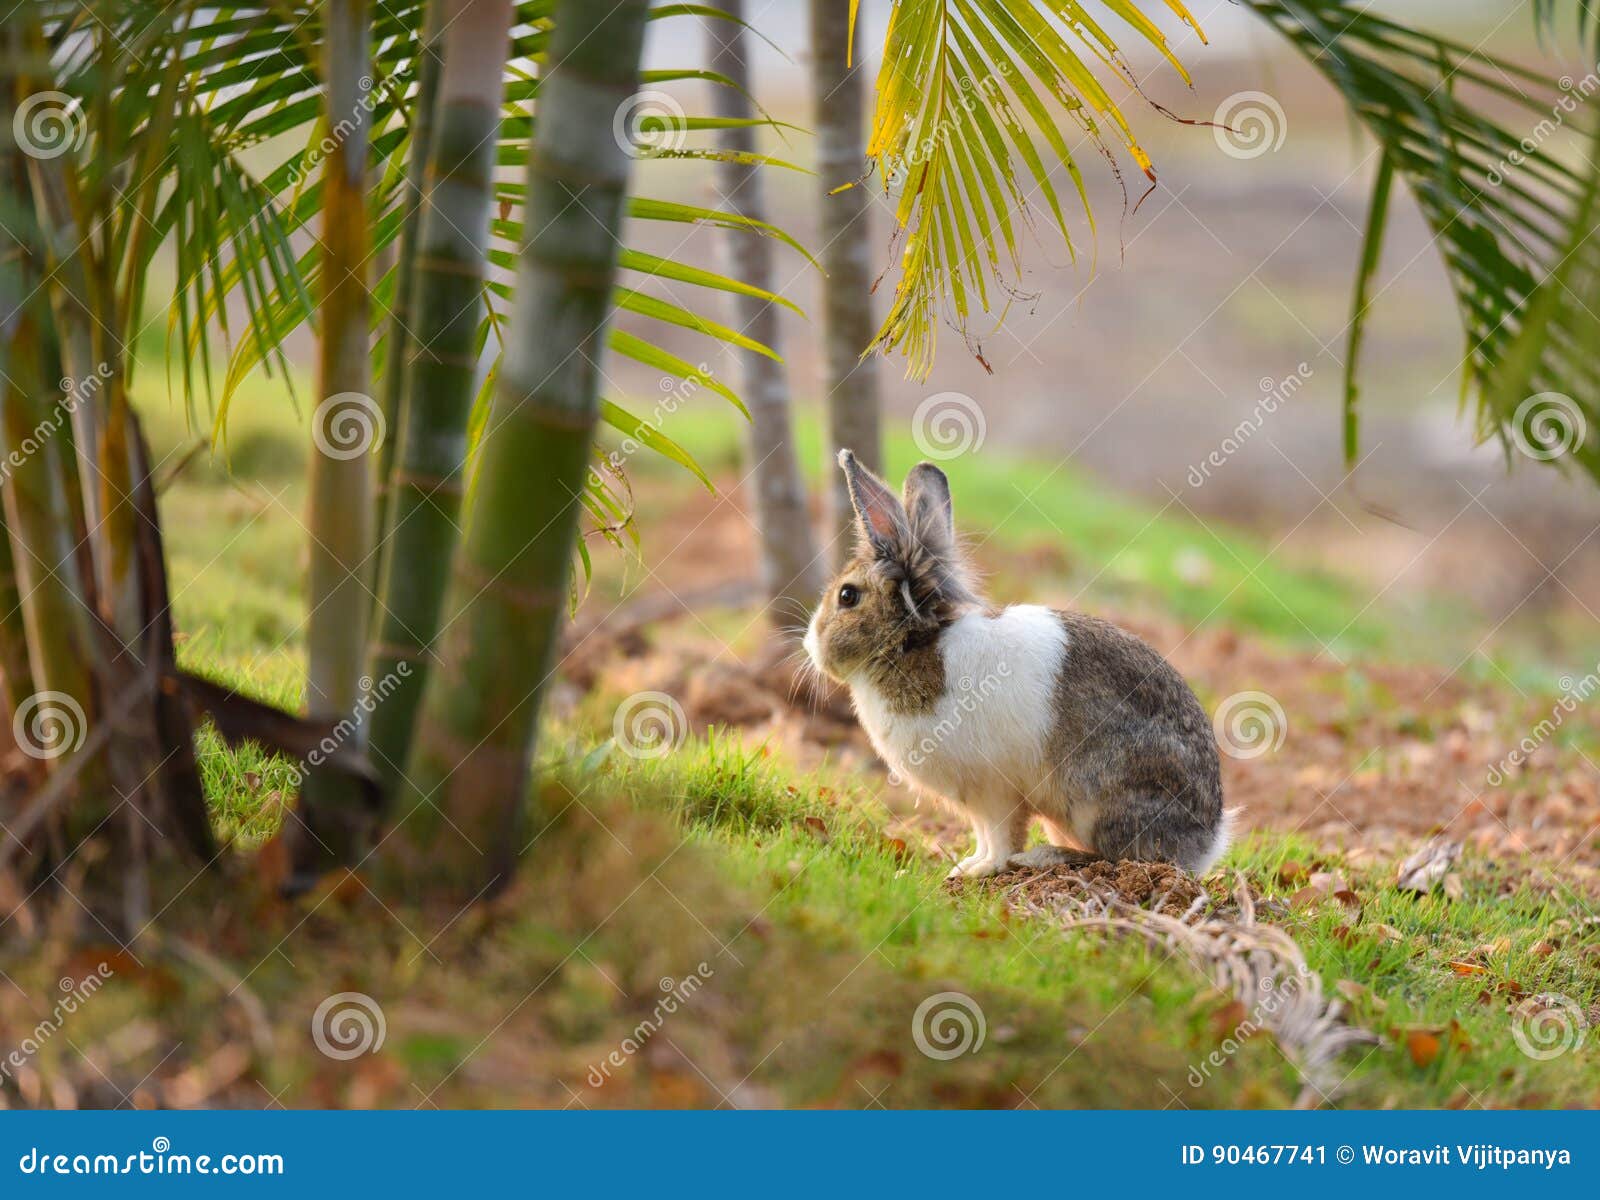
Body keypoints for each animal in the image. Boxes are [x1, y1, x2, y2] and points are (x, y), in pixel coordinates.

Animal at [804, 449, 1232, 879]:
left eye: (847, 596)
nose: (811, 646)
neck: (907, 647)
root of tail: (1205, 842)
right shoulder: (980, 800)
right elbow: (982, 836)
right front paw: (967, 864)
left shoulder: (995, 792)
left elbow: (1001, 836)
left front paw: (976, 871)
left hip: (1096, 798)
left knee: (1116, 856)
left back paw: (1042, 857)